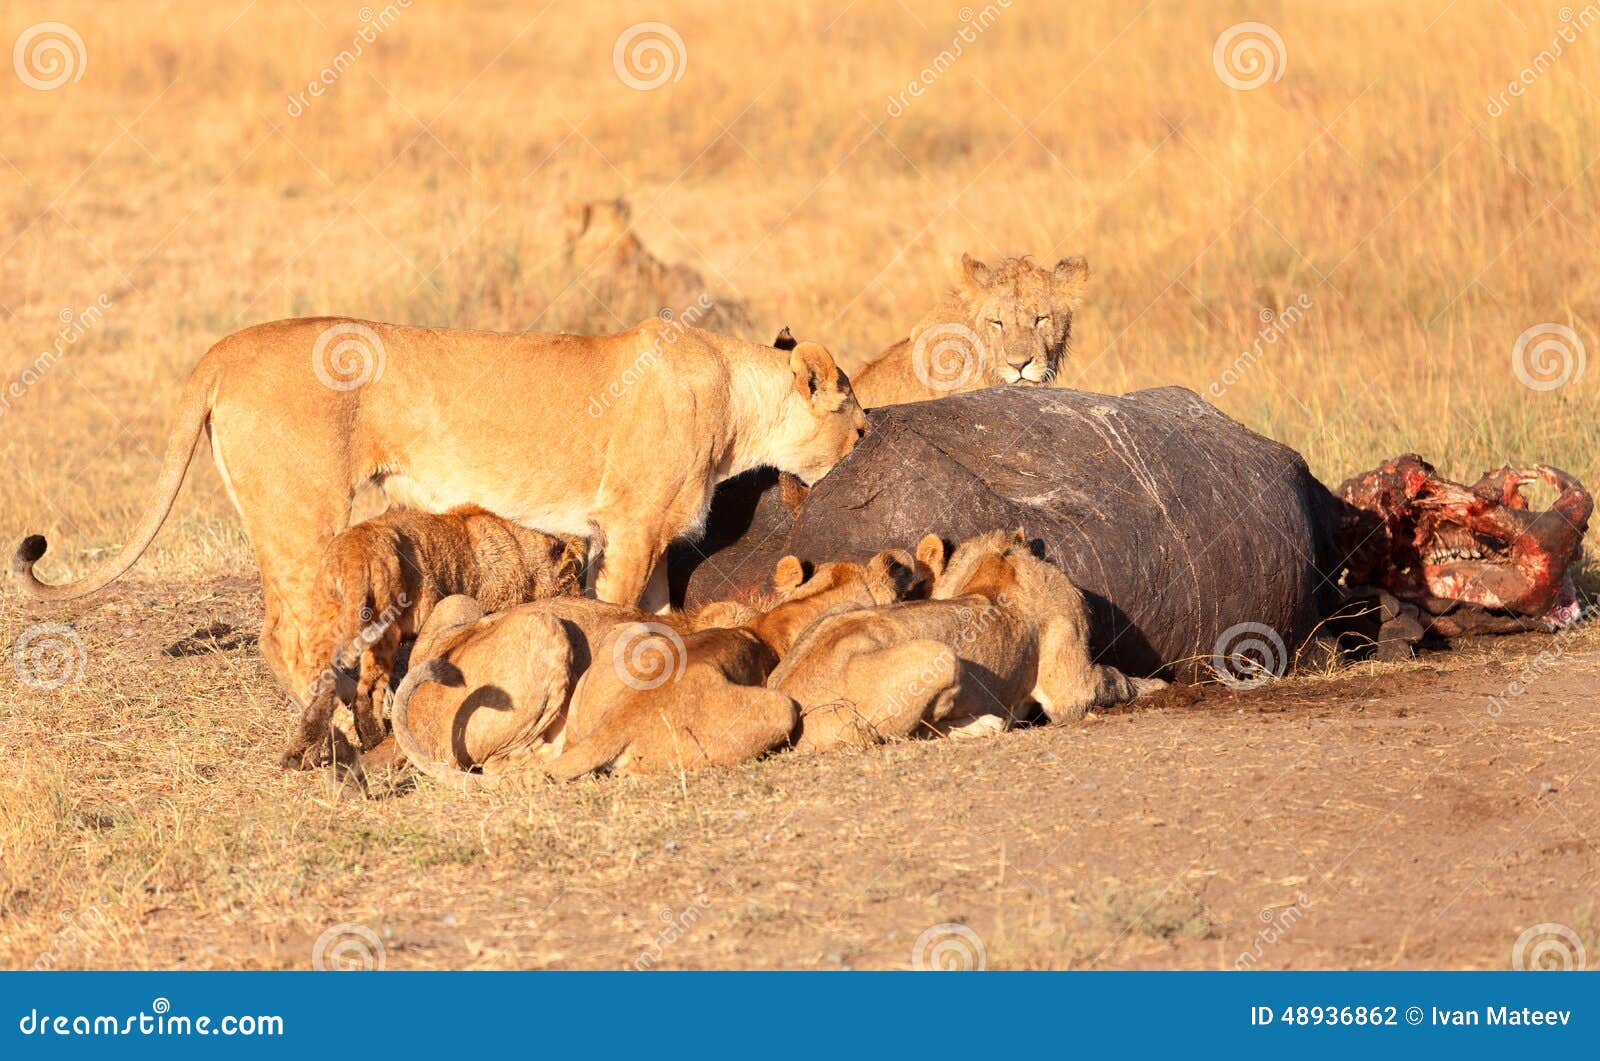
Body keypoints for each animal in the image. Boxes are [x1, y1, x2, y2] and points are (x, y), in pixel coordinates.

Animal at [13, 317, 867, 720]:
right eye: (859, 426)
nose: (866, 442)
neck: (736, 396)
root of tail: (221, 350)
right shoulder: (630, 528)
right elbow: (620, 610)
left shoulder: (634, 535)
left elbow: (653, 611)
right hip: (303, 509)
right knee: (284, 633)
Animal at [281, 504, 585, 769]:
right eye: (573, 581)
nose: (584, 597)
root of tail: (353, 554)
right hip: (385, 629)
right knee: (367, 693)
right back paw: (373, 738)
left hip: (324, 624)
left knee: (321, 688)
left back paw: (299, 755)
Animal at [769, 529, 1166, 752]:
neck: (999, 566)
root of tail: (793, 701)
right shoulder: (1069, 689)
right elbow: (1114, 680)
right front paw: (1157, 685)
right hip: (940, 657)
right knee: (902, 734)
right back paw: (987, 723)